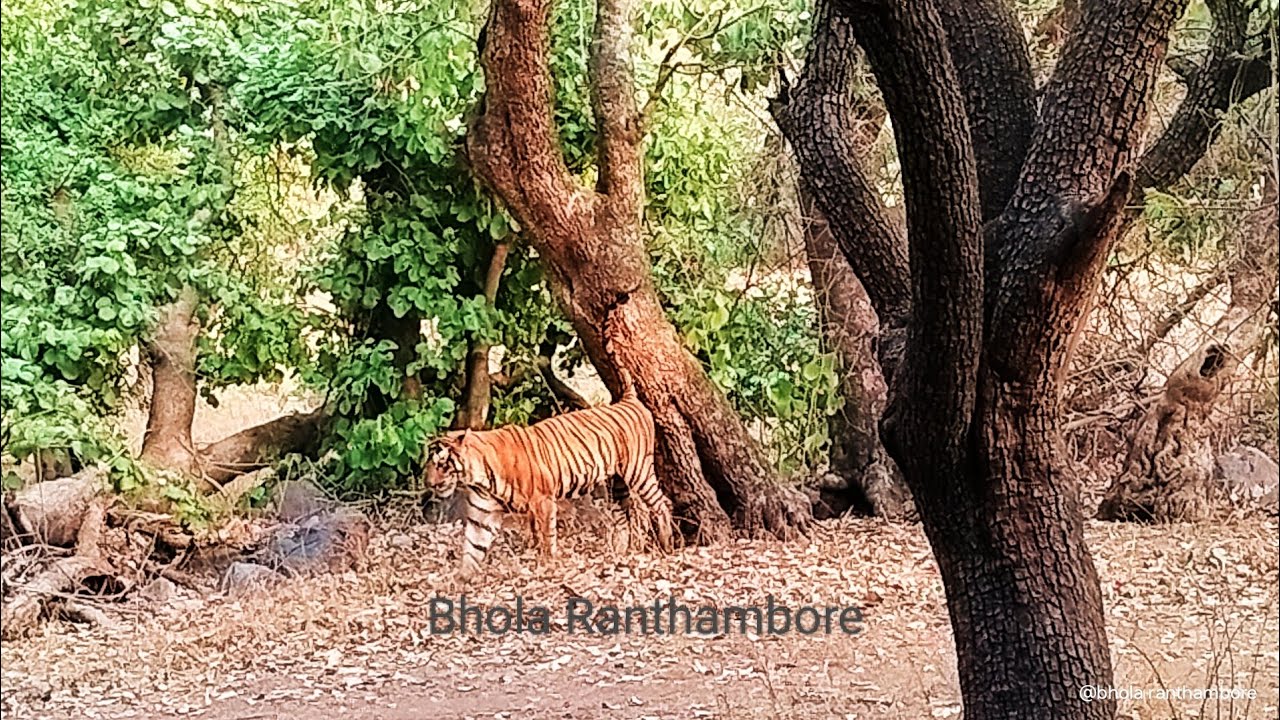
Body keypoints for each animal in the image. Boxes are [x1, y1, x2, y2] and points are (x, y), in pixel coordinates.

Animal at [423, 370, 676, 583]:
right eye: (430, 462)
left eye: (442, 463)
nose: (429, 484)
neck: (478, 480)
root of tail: (628, 400)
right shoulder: (482, 515)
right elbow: (472, 548)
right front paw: (460, 581)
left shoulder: (542, 502)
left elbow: (546, 537)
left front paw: (546, 566)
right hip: (617, 482)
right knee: (625, 514)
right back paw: (621, 550)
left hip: (638, 470)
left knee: (661, 504)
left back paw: (667, 546)